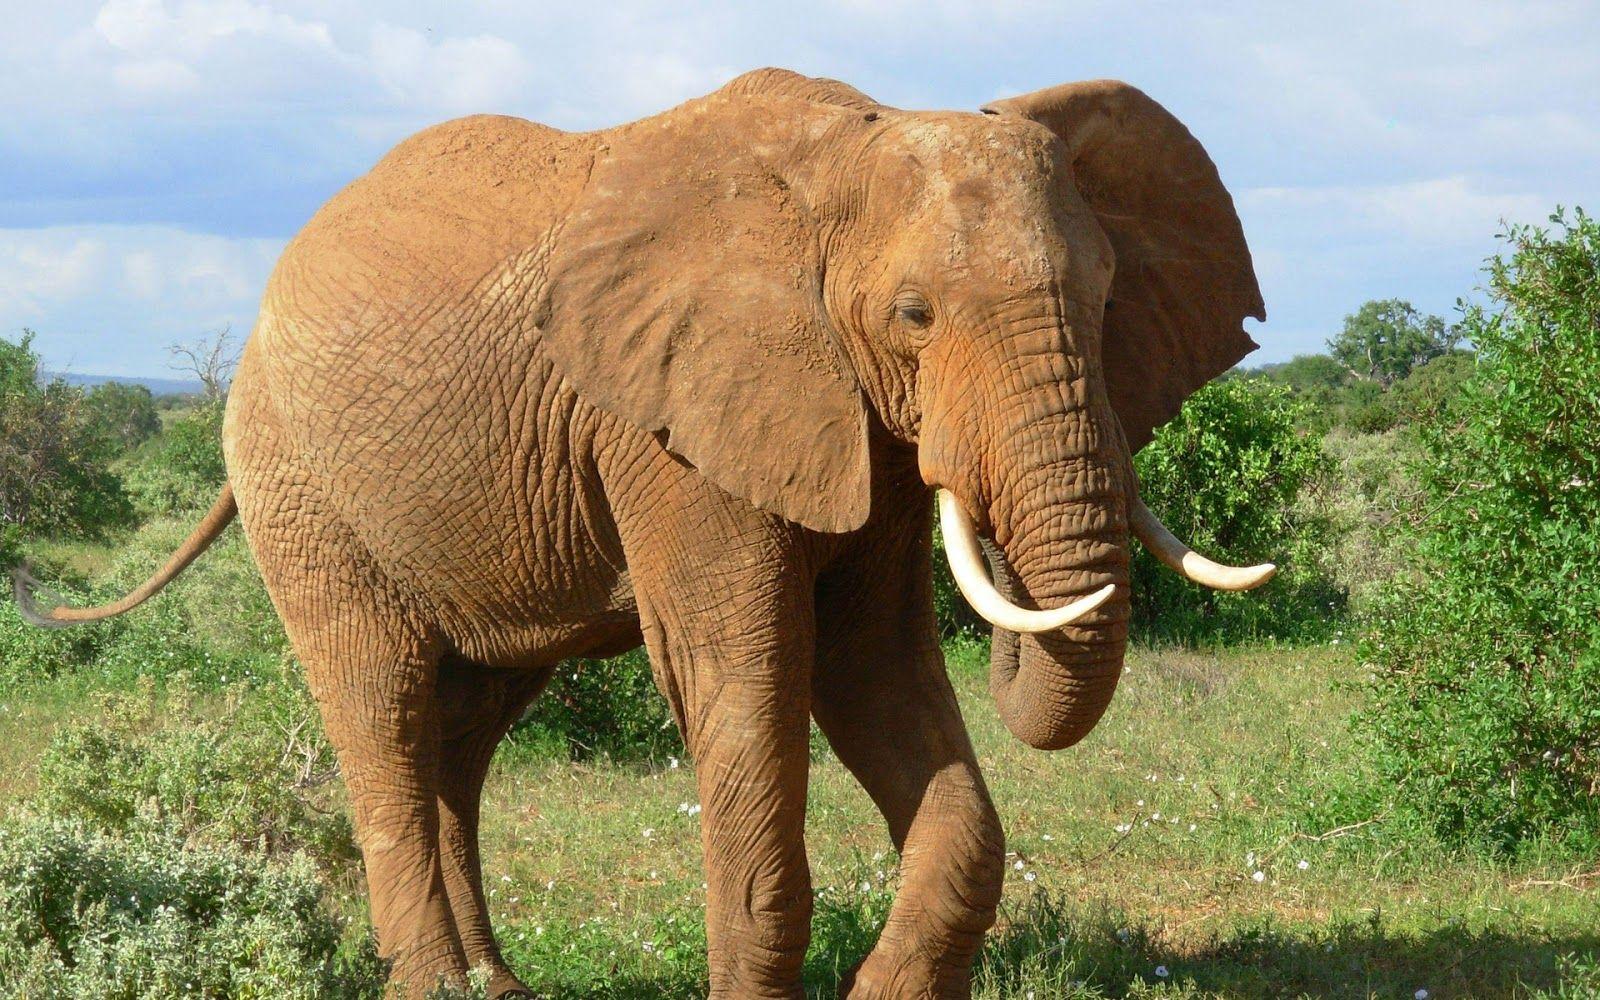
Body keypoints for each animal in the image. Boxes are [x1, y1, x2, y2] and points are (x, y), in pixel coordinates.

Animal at [14, 68, 1275, 999]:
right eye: (913, 315)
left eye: (1107, 299)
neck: (840, 147)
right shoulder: (666, 428)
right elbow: (742, 672)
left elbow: (872, 663)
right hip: (299, 485)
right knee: (383, 706)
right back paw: (437, 981)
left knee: (463, 725)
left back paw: (493, 988)